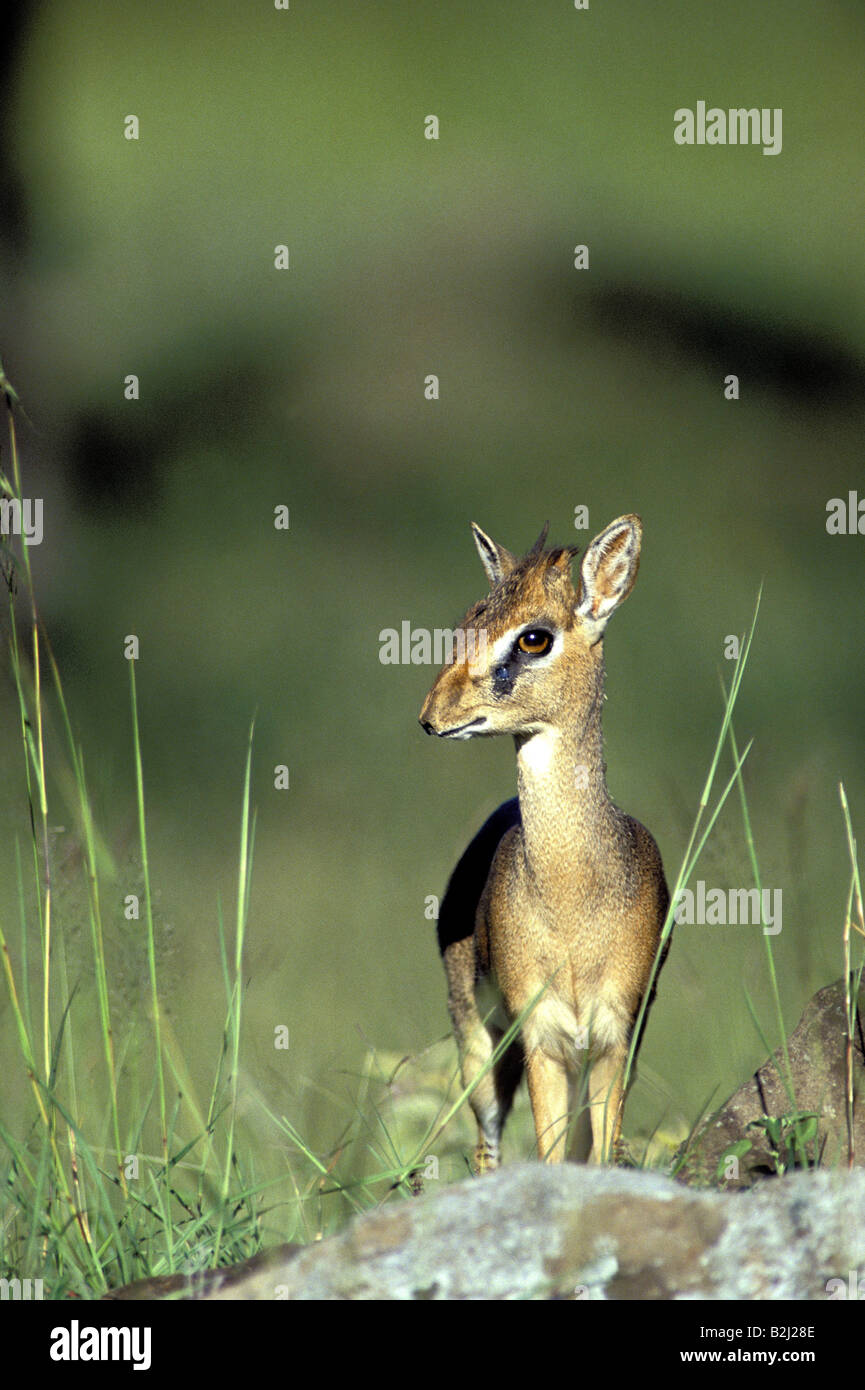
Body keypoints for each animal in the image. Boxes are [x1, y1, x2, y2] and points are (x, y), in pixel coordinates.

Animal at [419, 516, 669, 1169]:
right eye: (469, 620)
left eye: (534, 638)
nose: (432, 716)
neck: (572, 902)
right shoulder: (540, 1039)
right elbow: (549, 1158)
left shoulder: (615, 1038)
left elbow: (598, 1155)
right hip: (479, 1041)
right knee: (487, 1141)